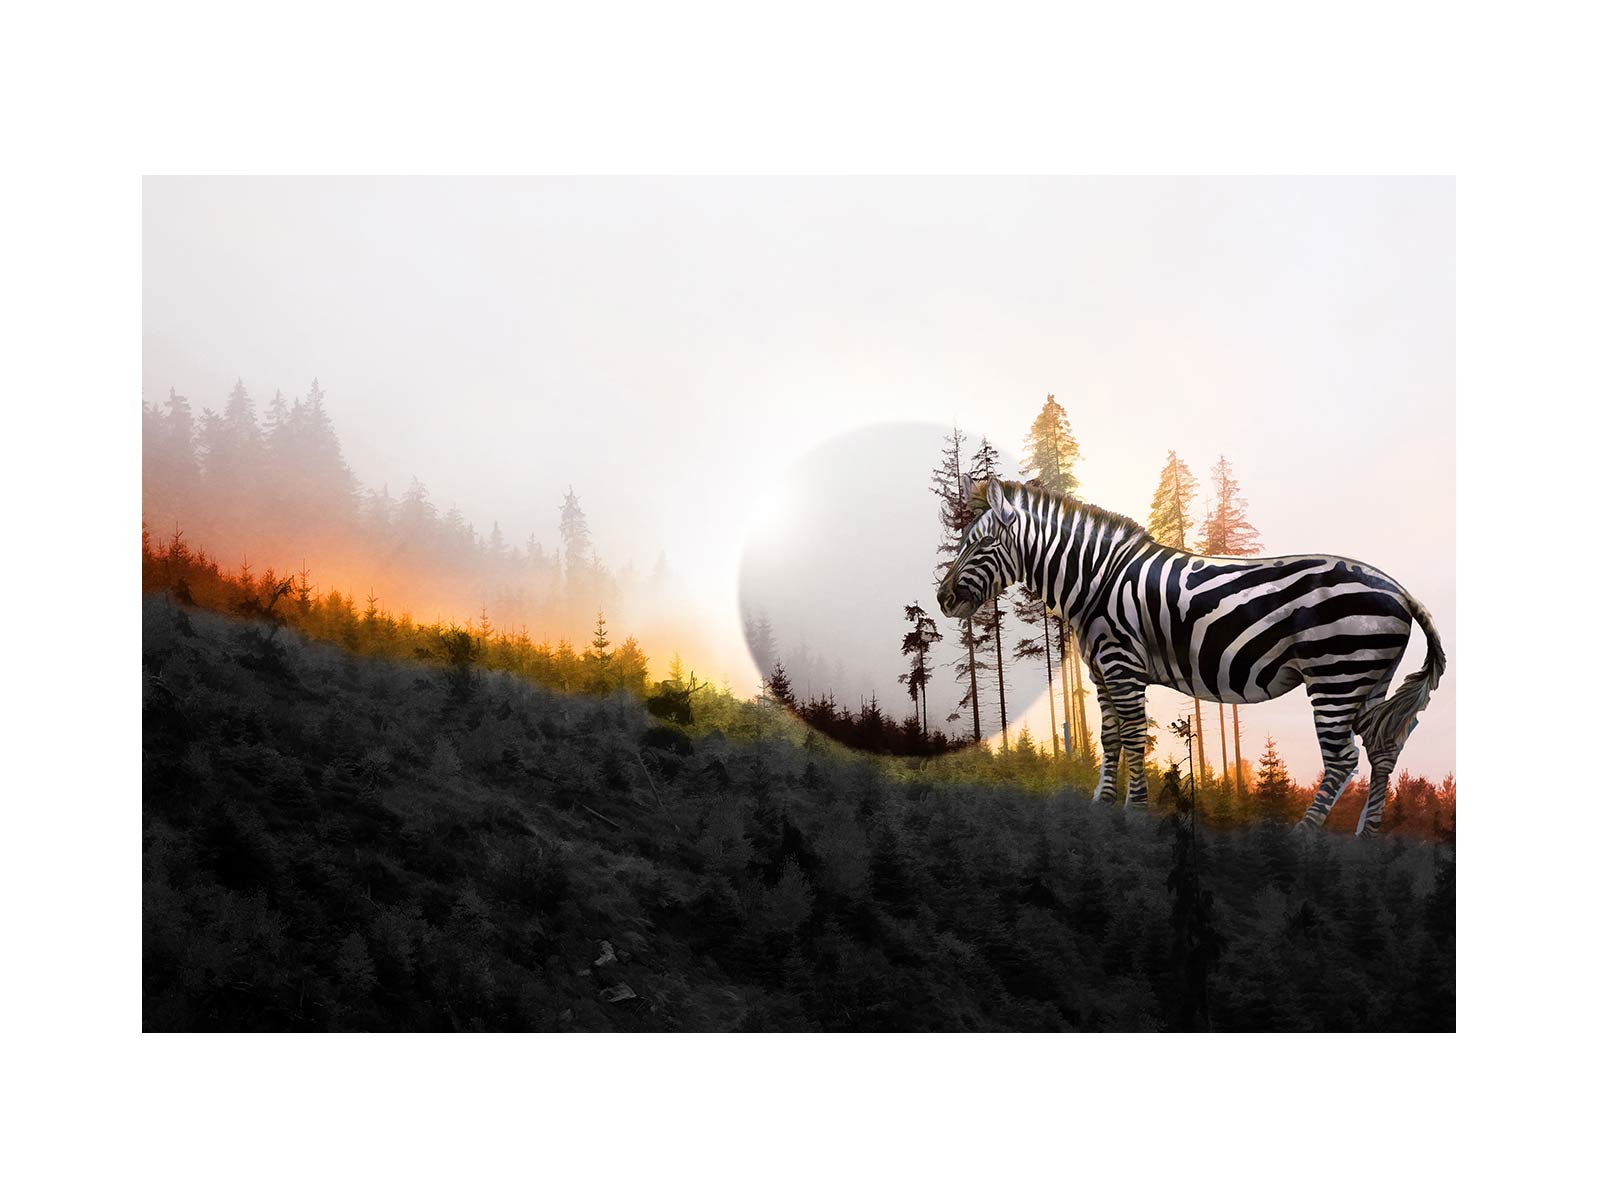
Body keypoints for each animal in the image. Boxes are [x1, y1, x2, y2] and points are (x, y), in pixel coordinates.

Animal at [935, 477, 1446, 836]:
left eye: (982, 545)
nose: (942, 599)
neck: (1097, 580)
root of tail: (1400, 589)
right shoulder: (1100, 673)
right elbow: (1110, 739)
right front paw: (1102, 808)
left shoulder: (1121, 665)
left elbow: (1134, 737)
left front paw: (1135, 813)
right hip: (1368, 678)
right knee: (1384, 750)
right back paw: (1367, 837)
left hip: (1336, 673)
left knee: (1342, 759)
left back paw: (1301, 839)